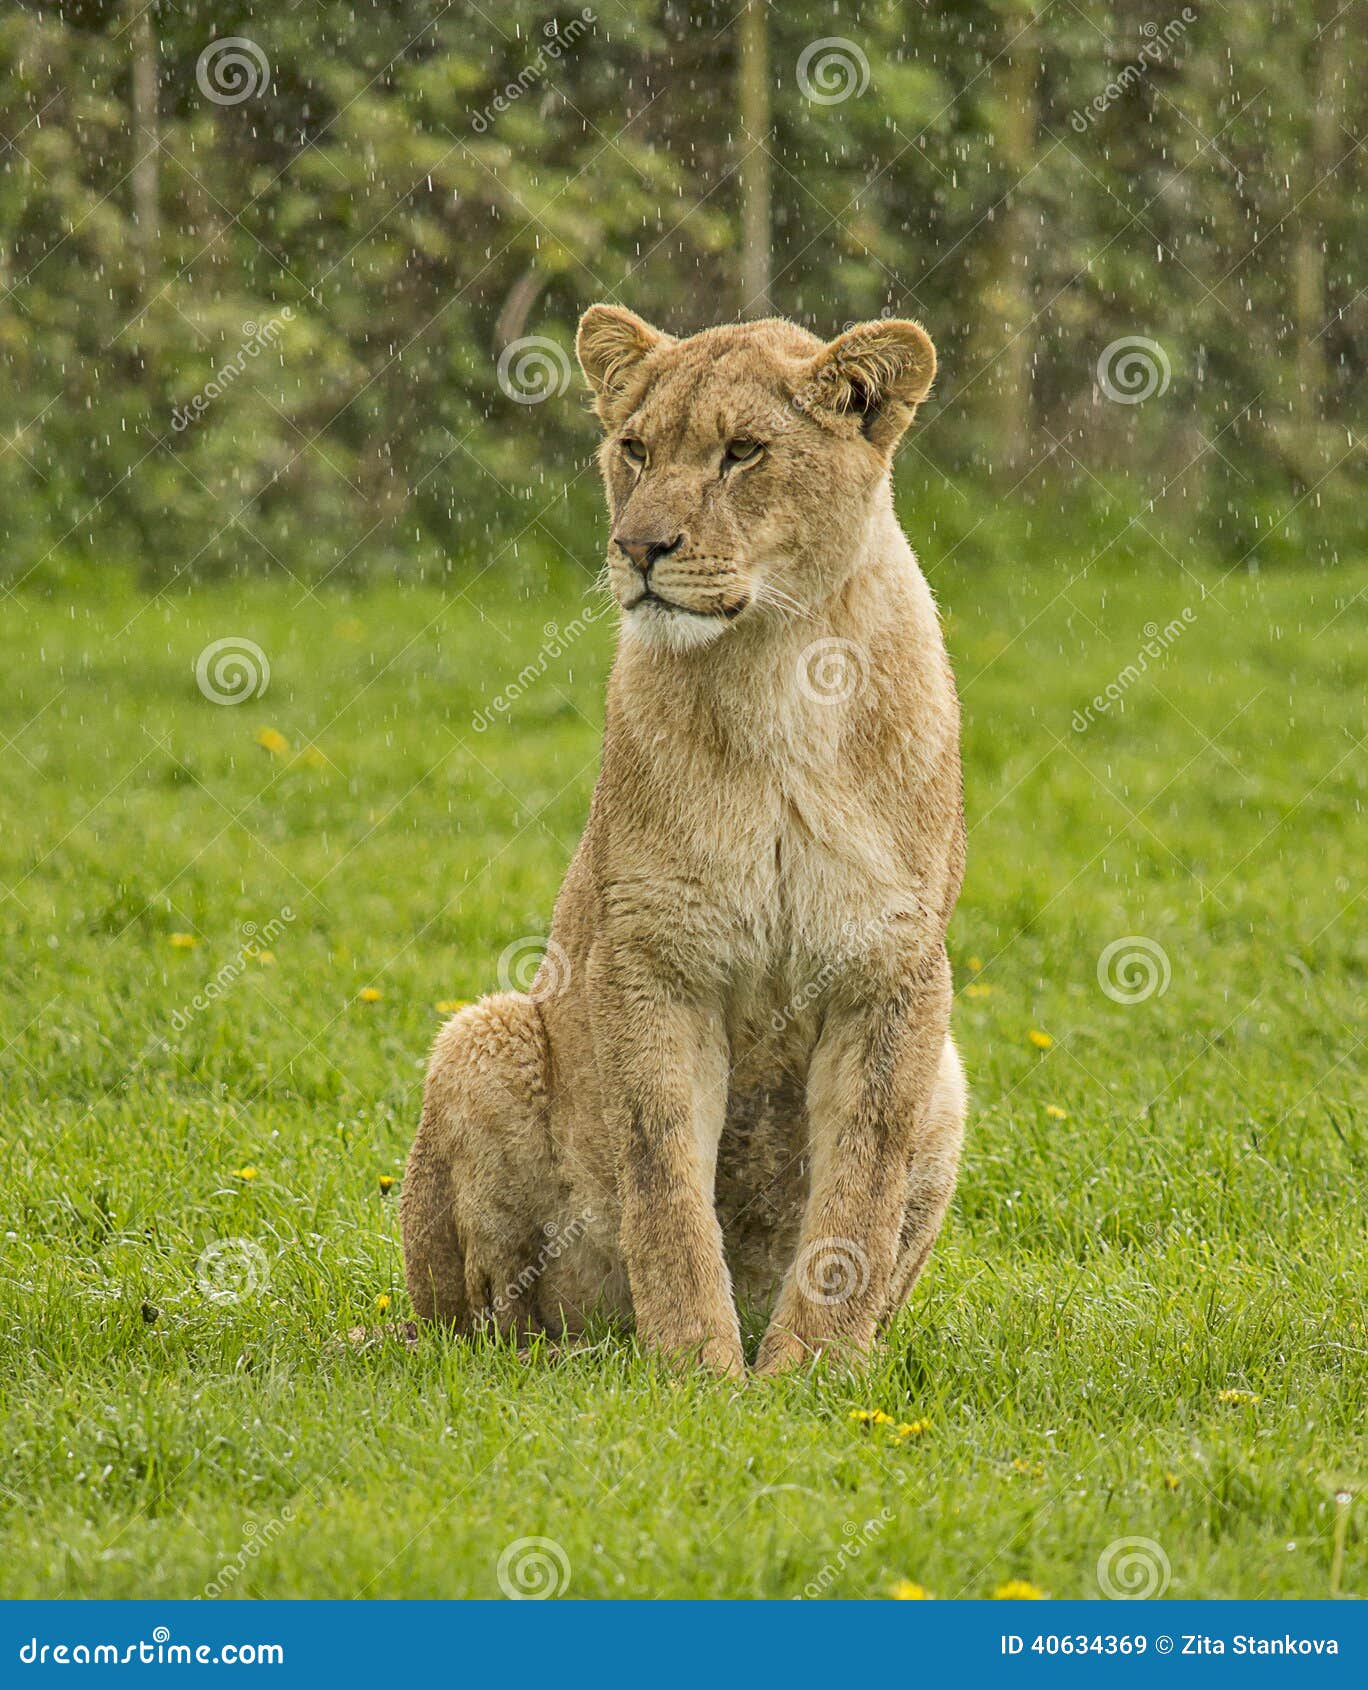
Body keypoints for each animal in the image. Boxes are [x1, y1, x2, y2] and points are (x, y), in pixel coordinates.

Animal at [401, 306, 967, 1376]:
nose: (638, 546)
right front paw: (699, 1371)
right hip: (482, 1038)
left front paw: (811, 1374)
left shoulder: (892, 972)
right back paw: (567, 1364)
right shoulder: (654, 962)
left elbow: (858, 1201)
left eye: (742, 454)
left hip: (950, 1082)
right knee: (487, 1328)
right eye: (635, 449)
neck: (778, 669)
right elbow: (664, 1181)